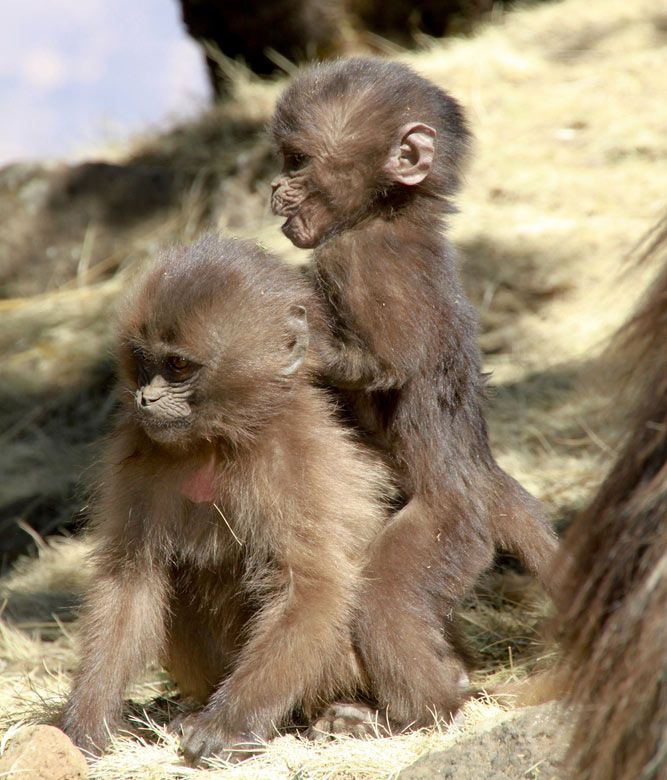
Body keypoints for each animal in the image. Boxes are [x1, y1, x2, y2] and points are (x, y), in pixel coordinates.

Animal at [60, 234, 392, 765]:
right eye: (144, 359)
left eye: (178, 366)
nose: (146, 400)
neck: (216, 442)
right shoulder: (138, 448)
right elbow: (132, 576)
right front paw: (86, 722)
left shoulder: (295, 457)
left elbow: (312, 586)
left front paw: (226, 727)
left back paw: (351, 712)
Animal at [270, 57, 559, 731]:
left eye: (297, 161)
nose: (274, 190)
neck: (393, 213)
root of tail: (483, 475)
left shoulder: (359, 258)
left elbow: (385, 366)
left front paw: (300, 346)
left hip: (451, 529)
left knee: (385, 596)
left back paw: (423, 711)